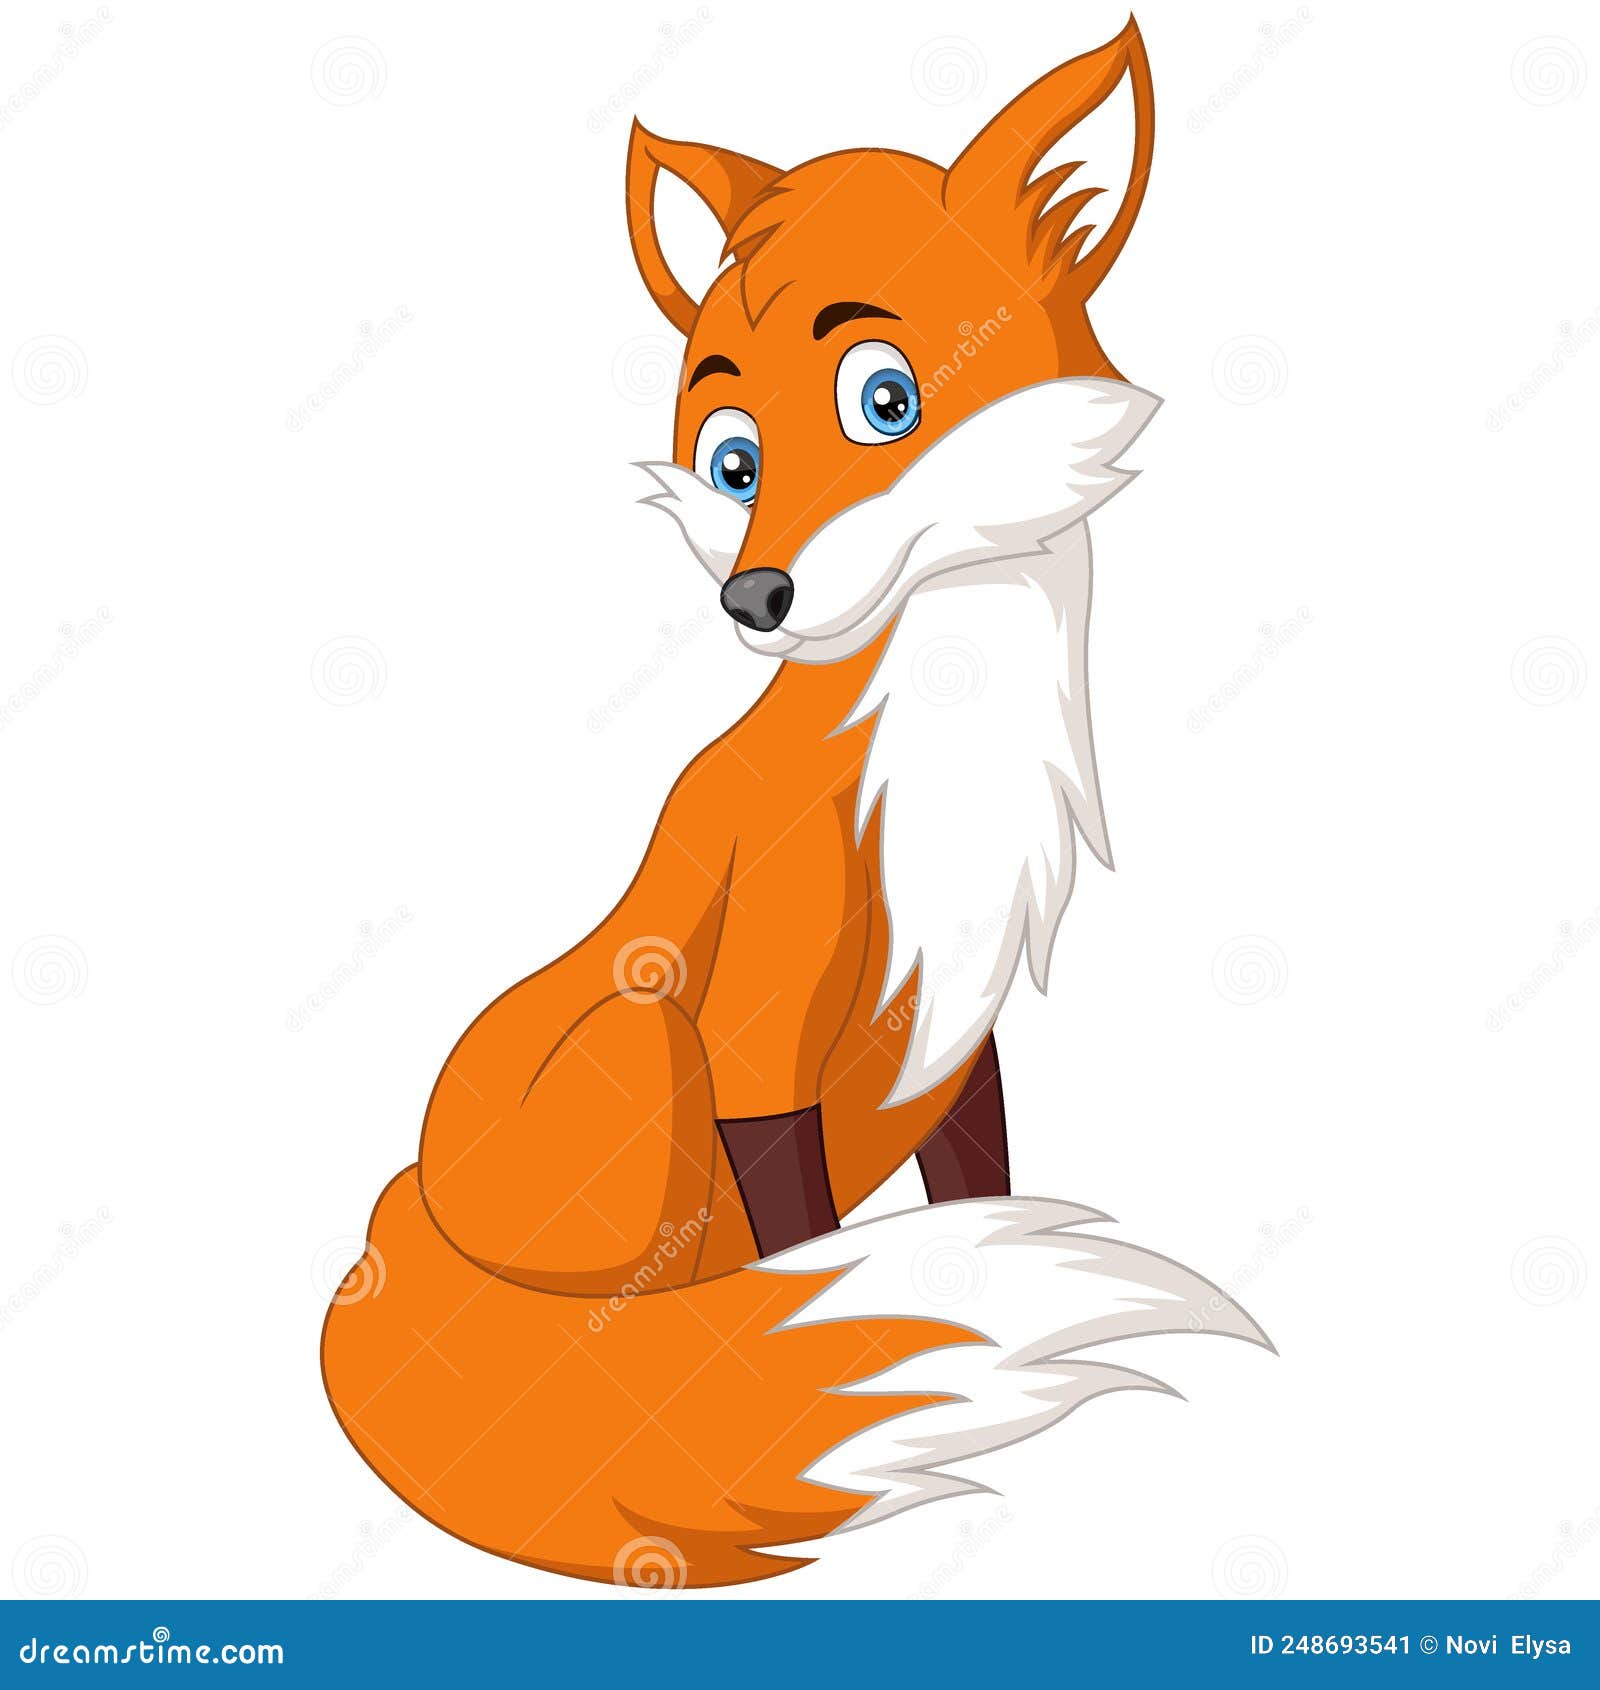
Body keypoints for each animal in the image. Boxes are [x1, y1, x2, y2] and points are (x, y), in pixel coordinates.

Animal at [323, 17, 1269, 1589]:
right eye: (734, 461)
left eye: (887, 400)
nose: (750, 597)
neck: (940, 737)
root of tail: (402, 1214)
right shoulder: (760, 1030)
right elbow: (806, 1248)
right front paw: (847, 1306)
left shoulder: (958, 1010)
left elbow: (975, 1182)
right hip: (643, 1028)